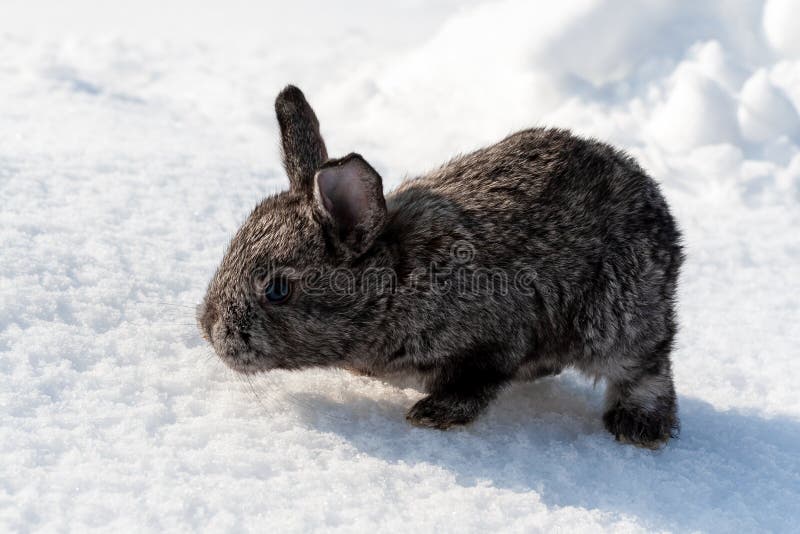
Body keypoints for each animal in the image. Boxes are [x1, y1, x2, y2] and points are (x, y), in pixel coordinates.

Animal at [197, 85, 684, 448]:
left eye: (277, 290)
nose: (209, 328)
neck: (394, 286)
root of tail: (663, 218)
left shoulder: (494, 339)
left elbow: (477, 385)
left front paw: (431, 414)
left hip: (618, 315)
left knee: (645, 364)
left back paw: (639, 426)